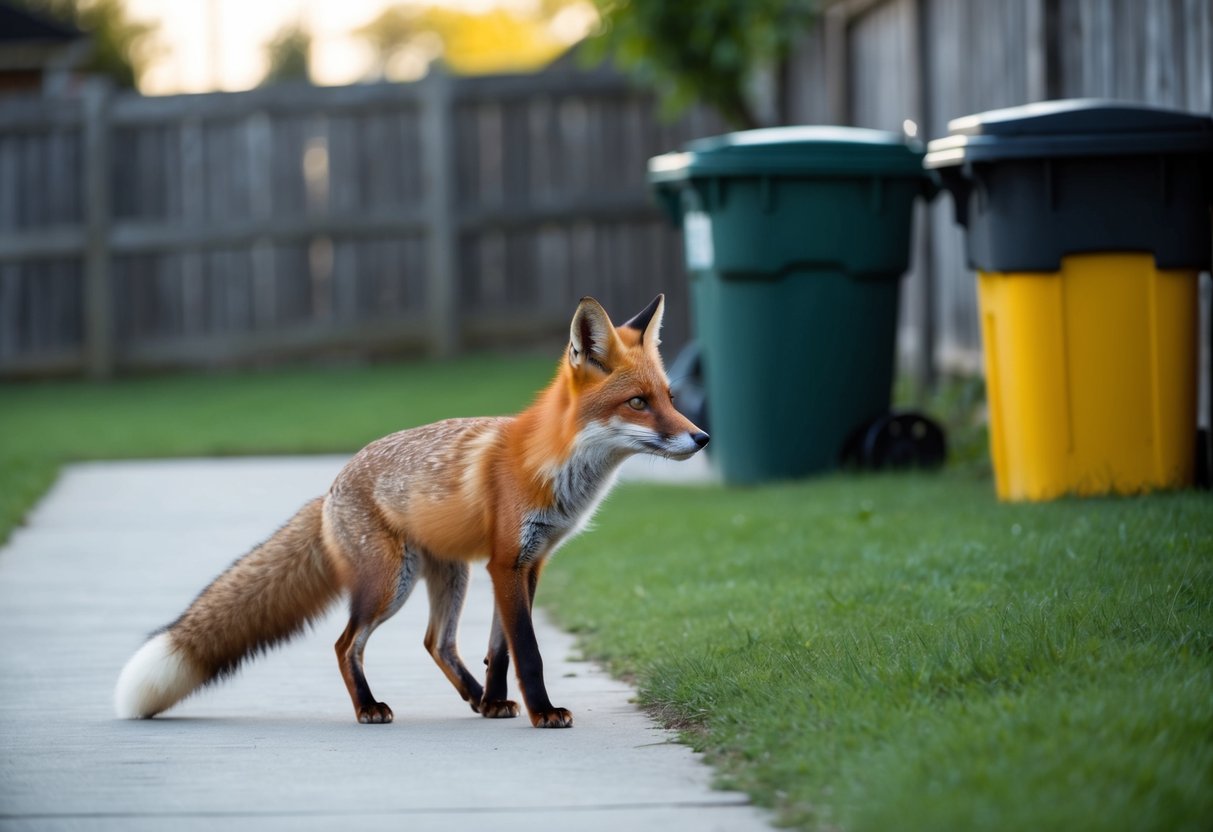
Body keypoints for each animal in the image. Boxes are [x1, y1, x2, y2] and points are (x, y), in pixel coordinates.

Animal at [114, 294, 708, 728]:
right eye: (637, 403)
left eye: (671, 397)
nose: (702, 437)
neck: (551, 465)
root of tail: (330, 488)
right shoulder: (506, 561)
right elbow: (529, 651)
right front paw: (543, 713)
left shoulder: (527, 563)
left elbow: (501, 649)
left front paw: (498, 702)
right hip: (388, 584)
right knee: (346, 644)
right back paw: (368, 708)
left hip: (451, 575)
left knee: (436, 642)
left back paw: (475, 698)